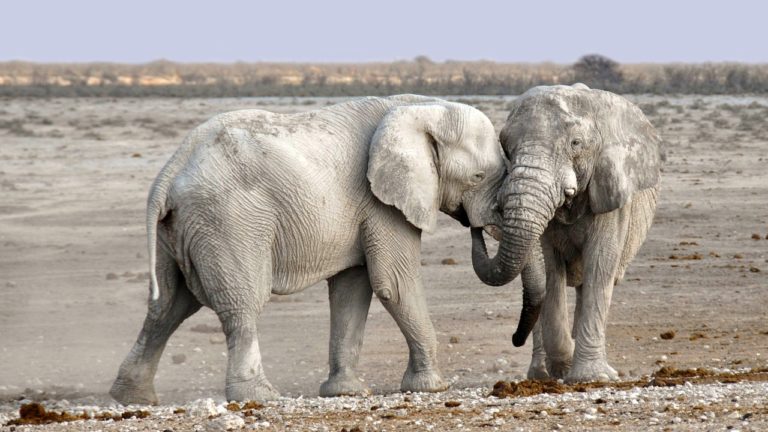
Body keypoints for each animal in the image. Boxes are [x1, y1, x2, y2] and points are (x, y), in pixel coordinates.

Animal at [109, 94, 506, 405]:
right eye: (478, 177)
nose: (476, 227)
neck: (421, 108)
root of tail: (171, 169)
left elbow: (352, 289)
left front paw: (346, 392)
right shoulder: (382, 203)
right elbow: (394, 284)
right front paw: (432, 387)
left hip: (179, 229)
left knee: (168, 306)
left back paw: (132, 398)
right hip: (228, 221)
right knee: (242, 304)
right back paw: (260, 397)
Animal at [471, 84, 661, 382]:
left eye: (576, 144)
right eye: (506, 148)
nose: (476, 226)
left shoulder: (611, 192)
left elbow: (601, 265)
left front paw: (591, 377)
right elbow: (550, 270)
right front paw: (564, 366)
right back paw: (541, 374)